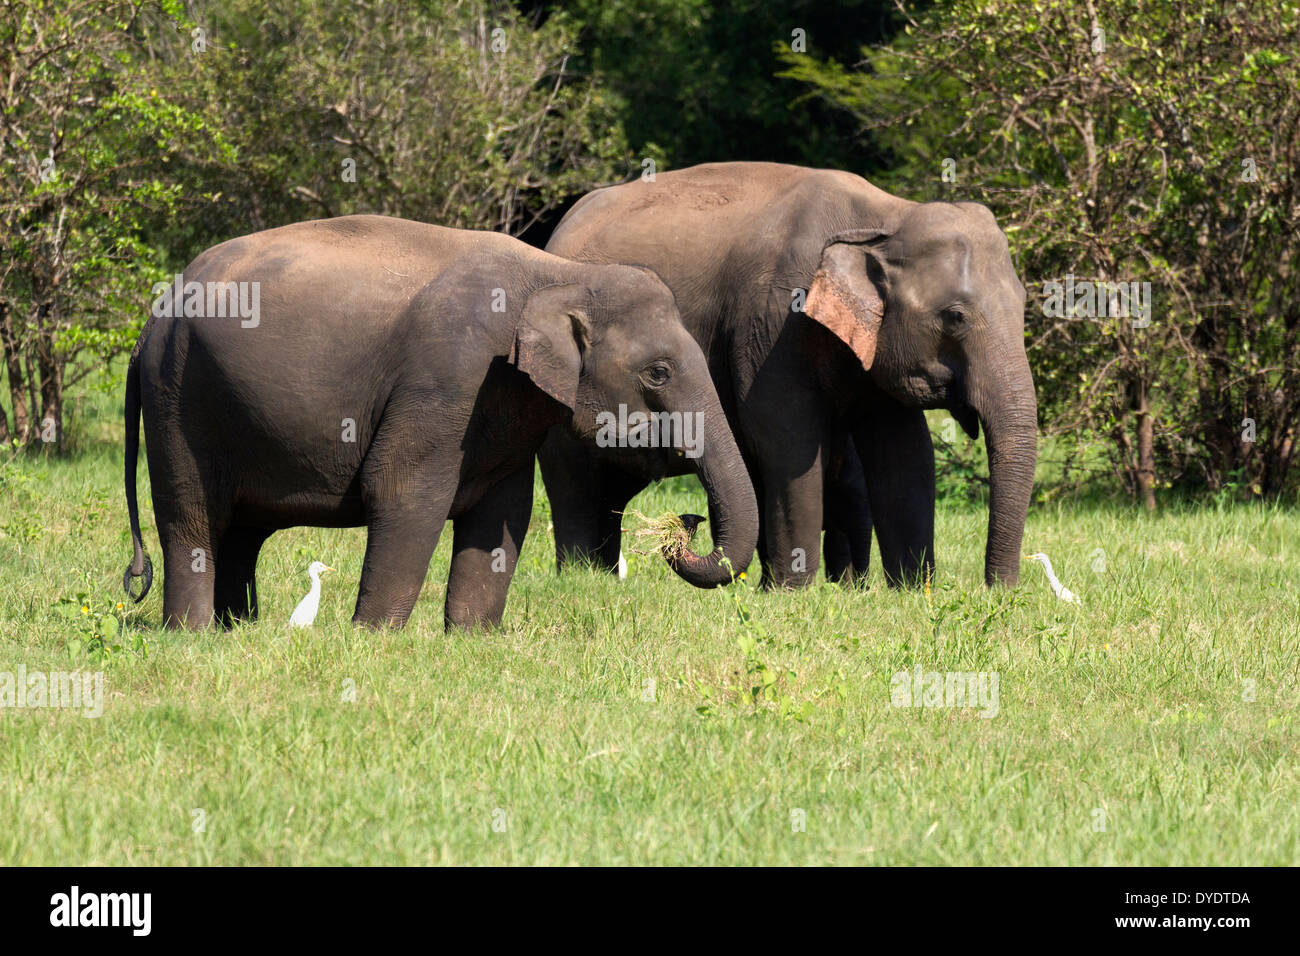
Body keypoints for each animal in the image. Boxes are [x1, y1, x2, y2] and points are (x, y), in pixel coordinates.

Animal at [122, 214, 758, 630]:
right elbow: (402, 492)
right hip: (177, 402)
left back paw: (239, 631)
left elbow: (505, 514)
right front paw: (373, 639)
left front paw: (472, 640)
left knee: (241, 531)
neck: (560, 272)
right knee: (191, 519)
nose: (686, 526)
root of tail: (149, 323)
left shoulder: (504, 406)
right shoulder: (447, 378)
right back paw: (192, 634)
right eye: (658, 373)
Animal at [539, 162, 1037, 589]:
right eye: (955, 316)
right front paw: (788, 592)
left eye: (1025, 303)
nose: (999, 589)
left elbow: (905, 450)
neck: (885, 216)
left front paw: (914, 591)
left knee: (613, 489)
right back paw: (582, 579)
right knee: (575, 478)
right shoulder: (773, 318)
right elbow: (785, 435)